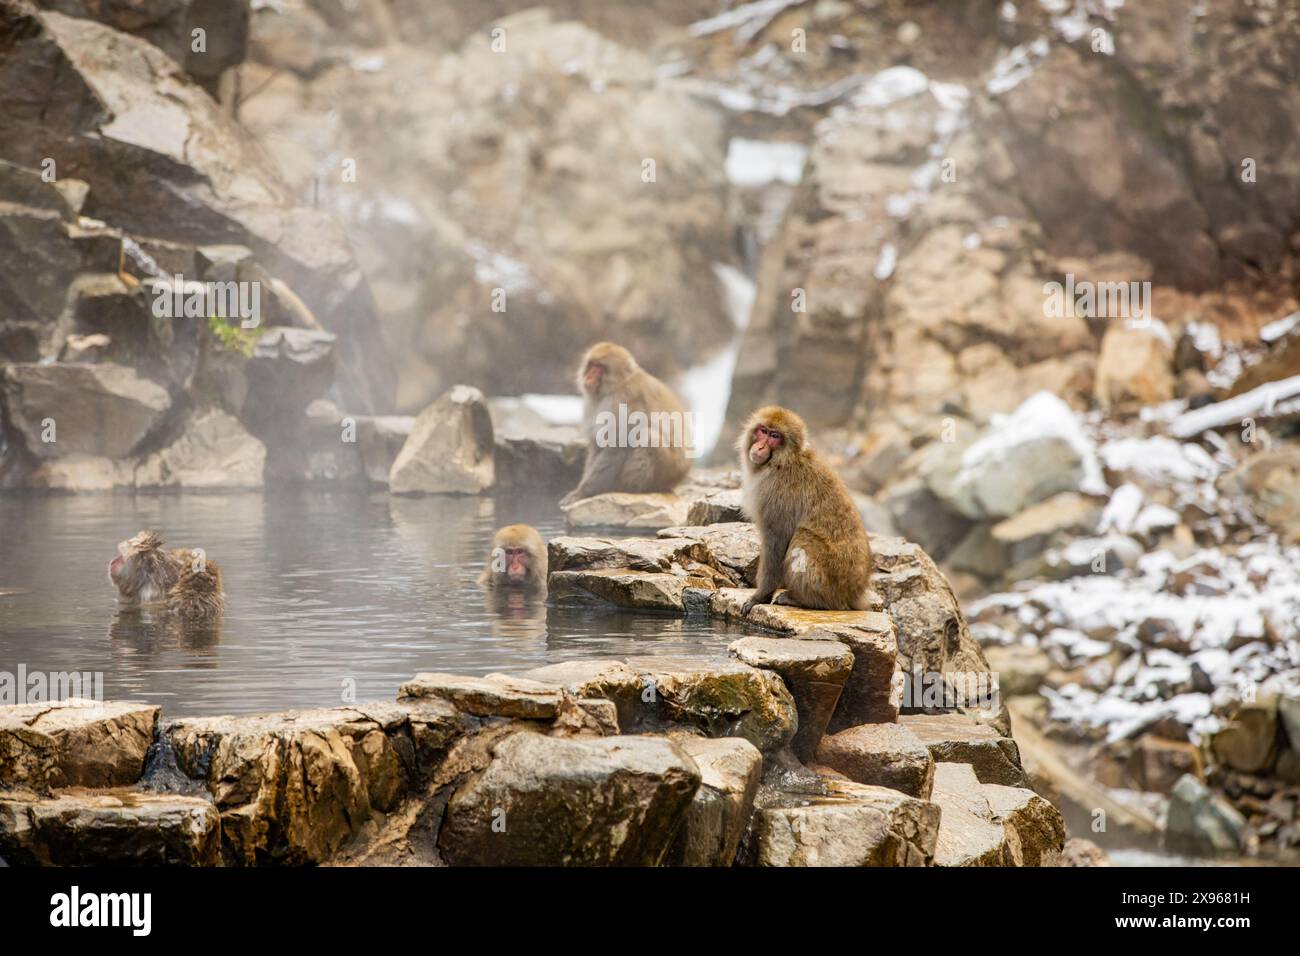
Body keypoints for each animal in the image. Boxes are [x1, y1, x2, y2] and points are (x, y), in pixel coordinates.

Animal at [560, 342, 693, 506]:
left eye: (600, 368)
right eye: (591, 365)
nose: (588, 377)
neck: (618, 384)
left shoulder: (621, 403)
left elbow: (617, 447)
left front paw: (582, 493)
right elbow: (597, 446)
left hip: (667, 471)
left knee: (649, 437)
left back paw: (631, 488)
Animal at [737, 406, 874, 614]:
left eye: (775, 436)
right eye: (763, 431)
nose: (759, 447)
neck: (781, 461)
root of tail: (855, 594)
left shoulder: (777, 493)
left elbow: (776, 541)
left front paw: (760, 596)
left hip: (831, 583)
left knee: (802, 537)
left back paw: (804, 600)